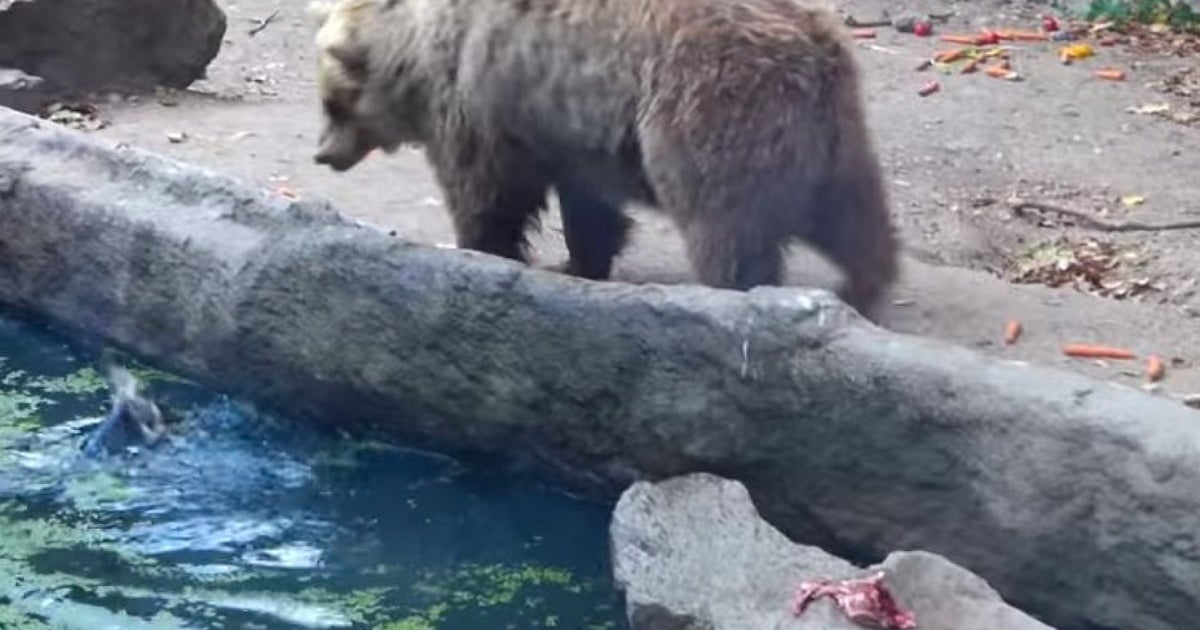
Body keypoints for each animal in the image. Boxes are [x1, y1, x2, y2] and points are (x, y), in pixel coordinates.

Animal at [307, 0, 899, 320]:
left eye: (331, 102)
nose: (323, 154)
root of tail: (815, 45)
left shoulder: (481, 101)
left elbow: (488, 194)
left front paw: (482, 250)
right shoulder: (567, 125)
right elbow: (589, 207)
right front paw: (578, 263)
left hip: (708, 106)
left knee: (726, 224)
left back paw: (736, 291)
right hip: (826, 135)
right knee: (850, 213)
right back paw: (865, 283)